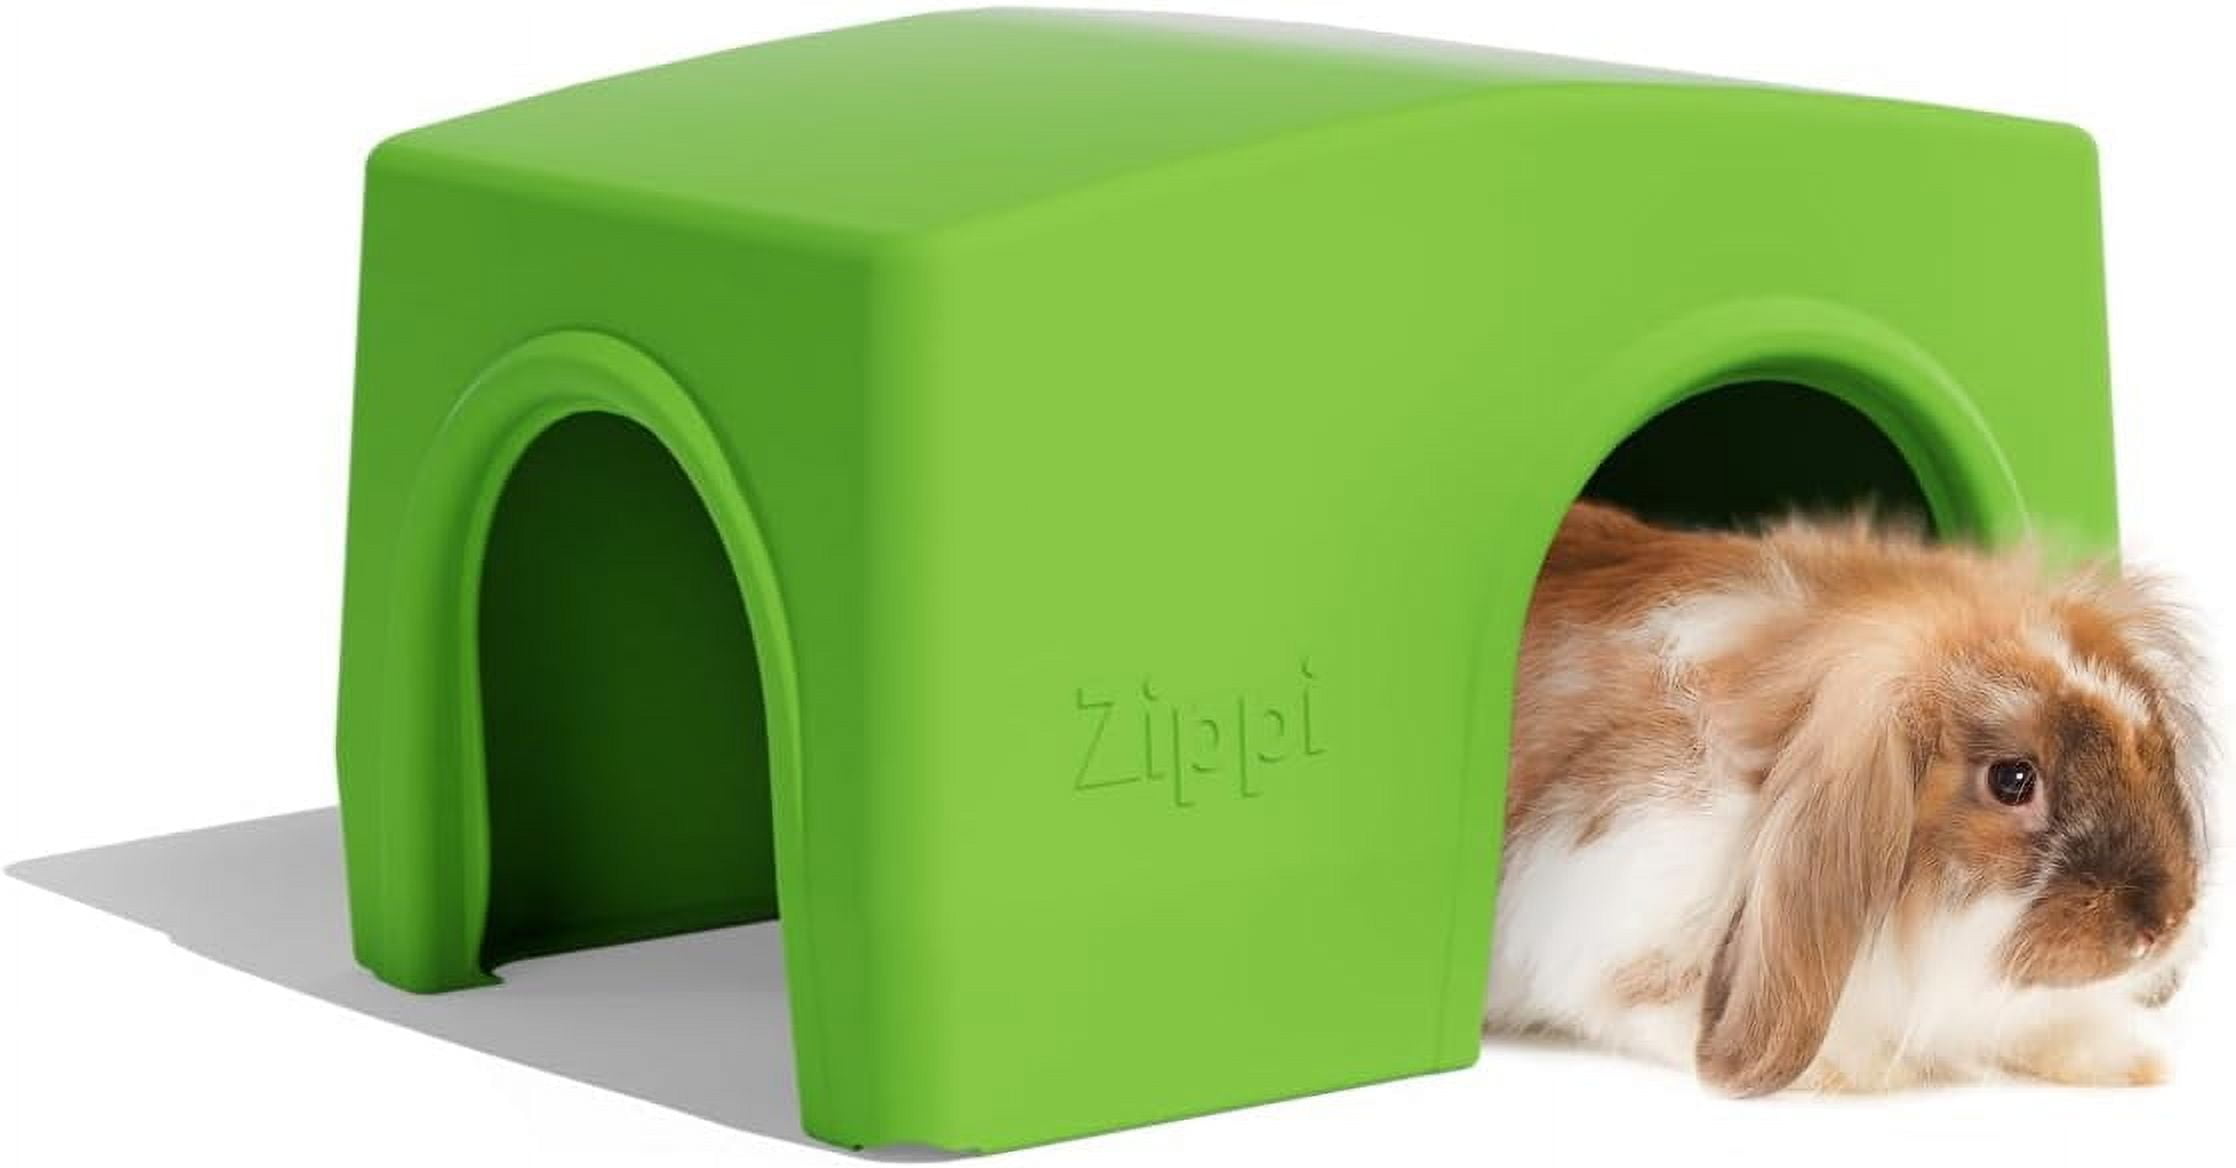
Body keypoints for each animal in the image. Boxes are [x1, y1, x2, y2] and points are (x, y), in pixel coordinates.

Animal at [1485, 499, 2211, 1094]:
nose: (2163, 923)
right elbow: (1657, 1007)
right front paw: (1847, 1067)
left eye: (2149, 747)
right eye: (2012, 778)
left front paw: (2130, 1060)